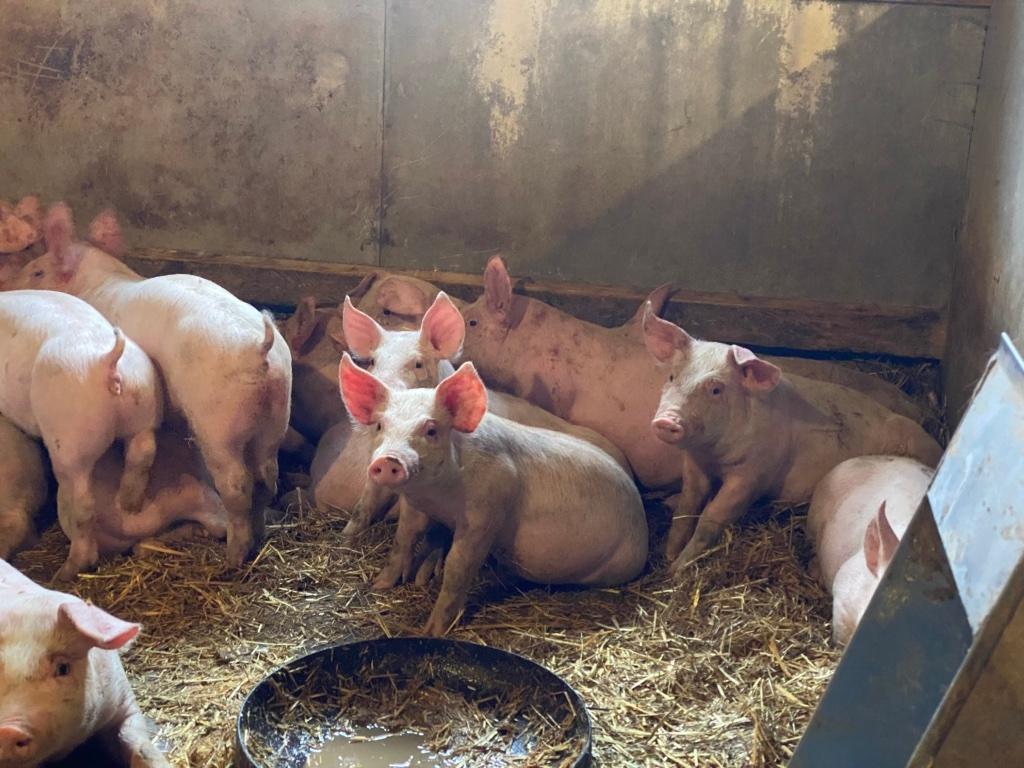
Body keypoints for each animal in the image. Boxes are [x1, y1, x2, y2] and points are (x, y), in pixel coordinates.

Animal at [11, 205, 291, 567]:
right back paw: (258, 533)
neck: (100, 283)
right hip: (278, 409)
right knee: (268, 475)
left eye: (37, 271)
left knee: (236, 483)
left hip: (218, 420)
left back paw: (233, 557)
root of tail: (260, 348)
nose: (8, 285)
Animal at [339, 354, 648, 635]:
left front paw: (431, 632)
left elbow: (459, 567)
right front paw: (380, 584)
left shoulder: (487, 509)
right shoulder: (416, 506)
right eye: (380, 426)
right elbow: (403, 539)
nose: (389, 459)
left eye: (431, 430)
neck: (439, 499)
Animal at [642, 304, 942, 573]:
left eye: (716, 389)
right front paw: (669, 554)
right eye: (672, 376)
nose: (666, 421)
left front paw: (676, 571)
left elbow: (713, 515)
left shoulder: (753, 475)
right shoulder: (694, 463)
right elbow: (688, 504)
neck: (712, 455)